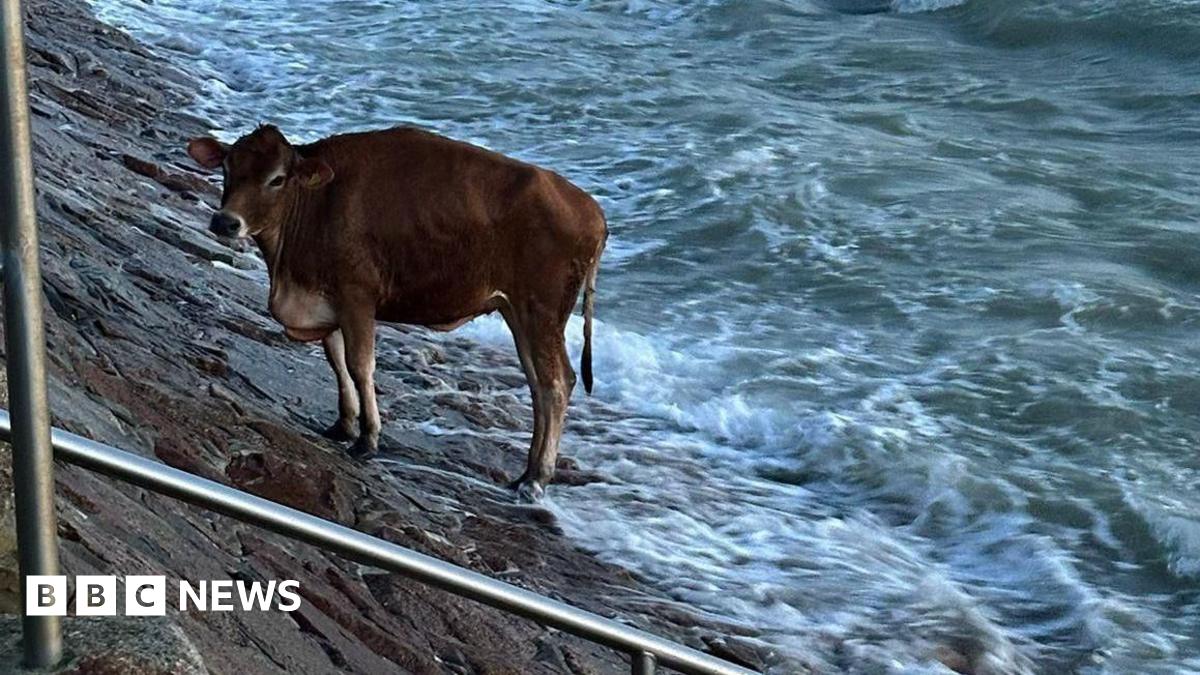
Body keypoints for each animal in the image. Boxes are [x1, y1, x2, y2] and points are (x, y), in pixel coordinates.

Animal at [187, 125, 606, 501]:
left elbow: (359, 365)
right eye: (227, 168)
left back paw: (537, 479)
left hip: (541, 311)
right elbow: (336, 361)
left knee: (556, 384)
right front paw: (344, 424)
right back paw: (526, 473)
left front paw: (368, 438)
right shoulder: (328, 300)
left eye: (276, 179)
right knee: (538, 384)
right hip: (518, 312)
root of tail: (592, 211)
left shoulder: (358, 296)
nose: (226, 221)